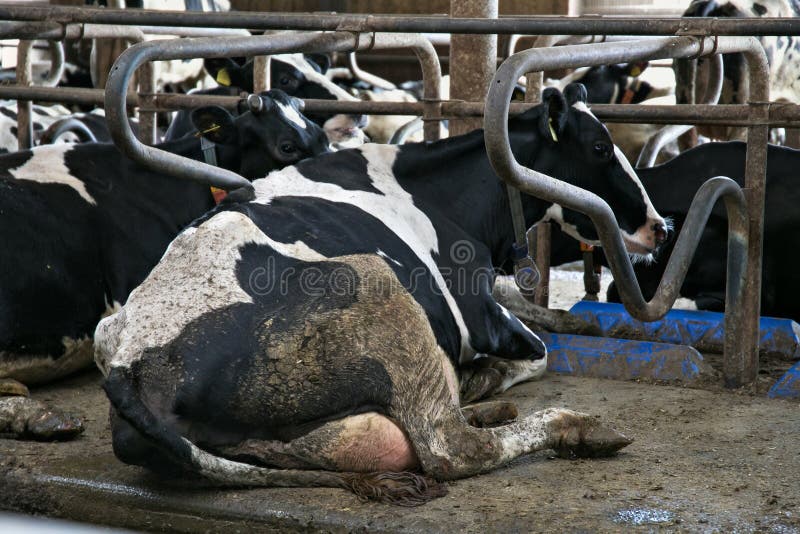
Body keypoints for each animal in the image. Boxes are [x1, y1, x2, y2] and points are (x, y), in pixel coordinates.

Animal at [95, 84, 665, 504]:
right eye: (600, 147)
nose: (660, 227)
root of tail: (132, 367)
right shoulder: (476, 312)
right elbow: (539, 353)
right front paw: (485, 375)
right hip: (378, 284)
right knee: (450, 447)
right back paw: (572, 425)